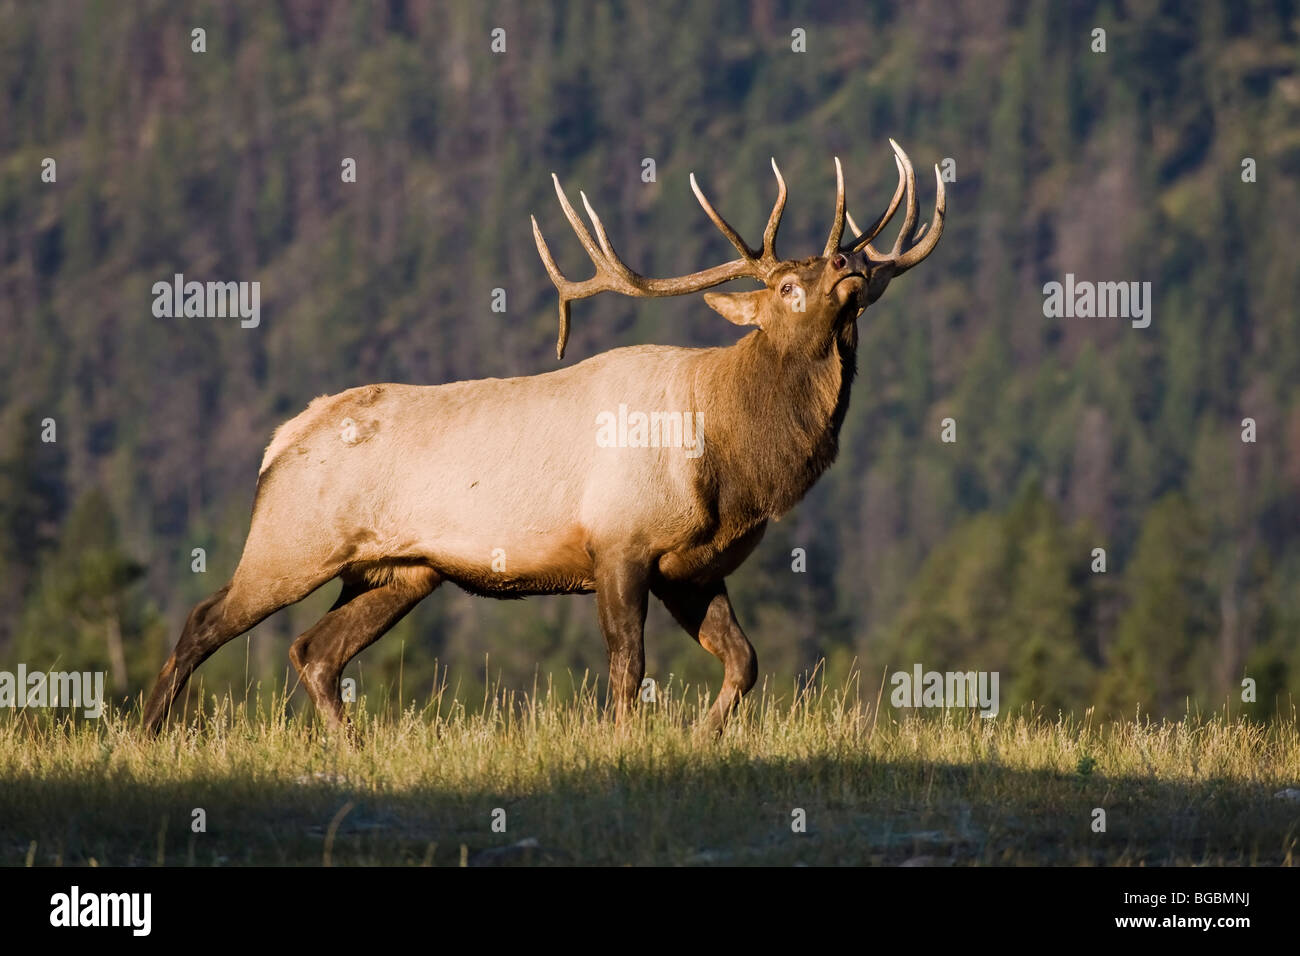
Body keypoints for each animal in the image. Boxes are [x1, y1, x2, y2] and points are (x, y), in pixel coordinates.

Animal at [142, 140, 944, 736]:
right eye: (785, 286)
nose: (849, 263)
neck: (733, 463)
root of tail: (279, 441)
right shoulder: (619, 542)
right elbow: (628, 670)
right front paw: (628, 745)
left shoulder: (691, 567)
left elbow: (743, 664)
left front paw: (703, 737)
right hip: (293, 538)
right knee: (205, 619)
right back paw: (149, 731)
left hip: (397, 570)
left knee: (314, 651)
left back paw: (349, 743)